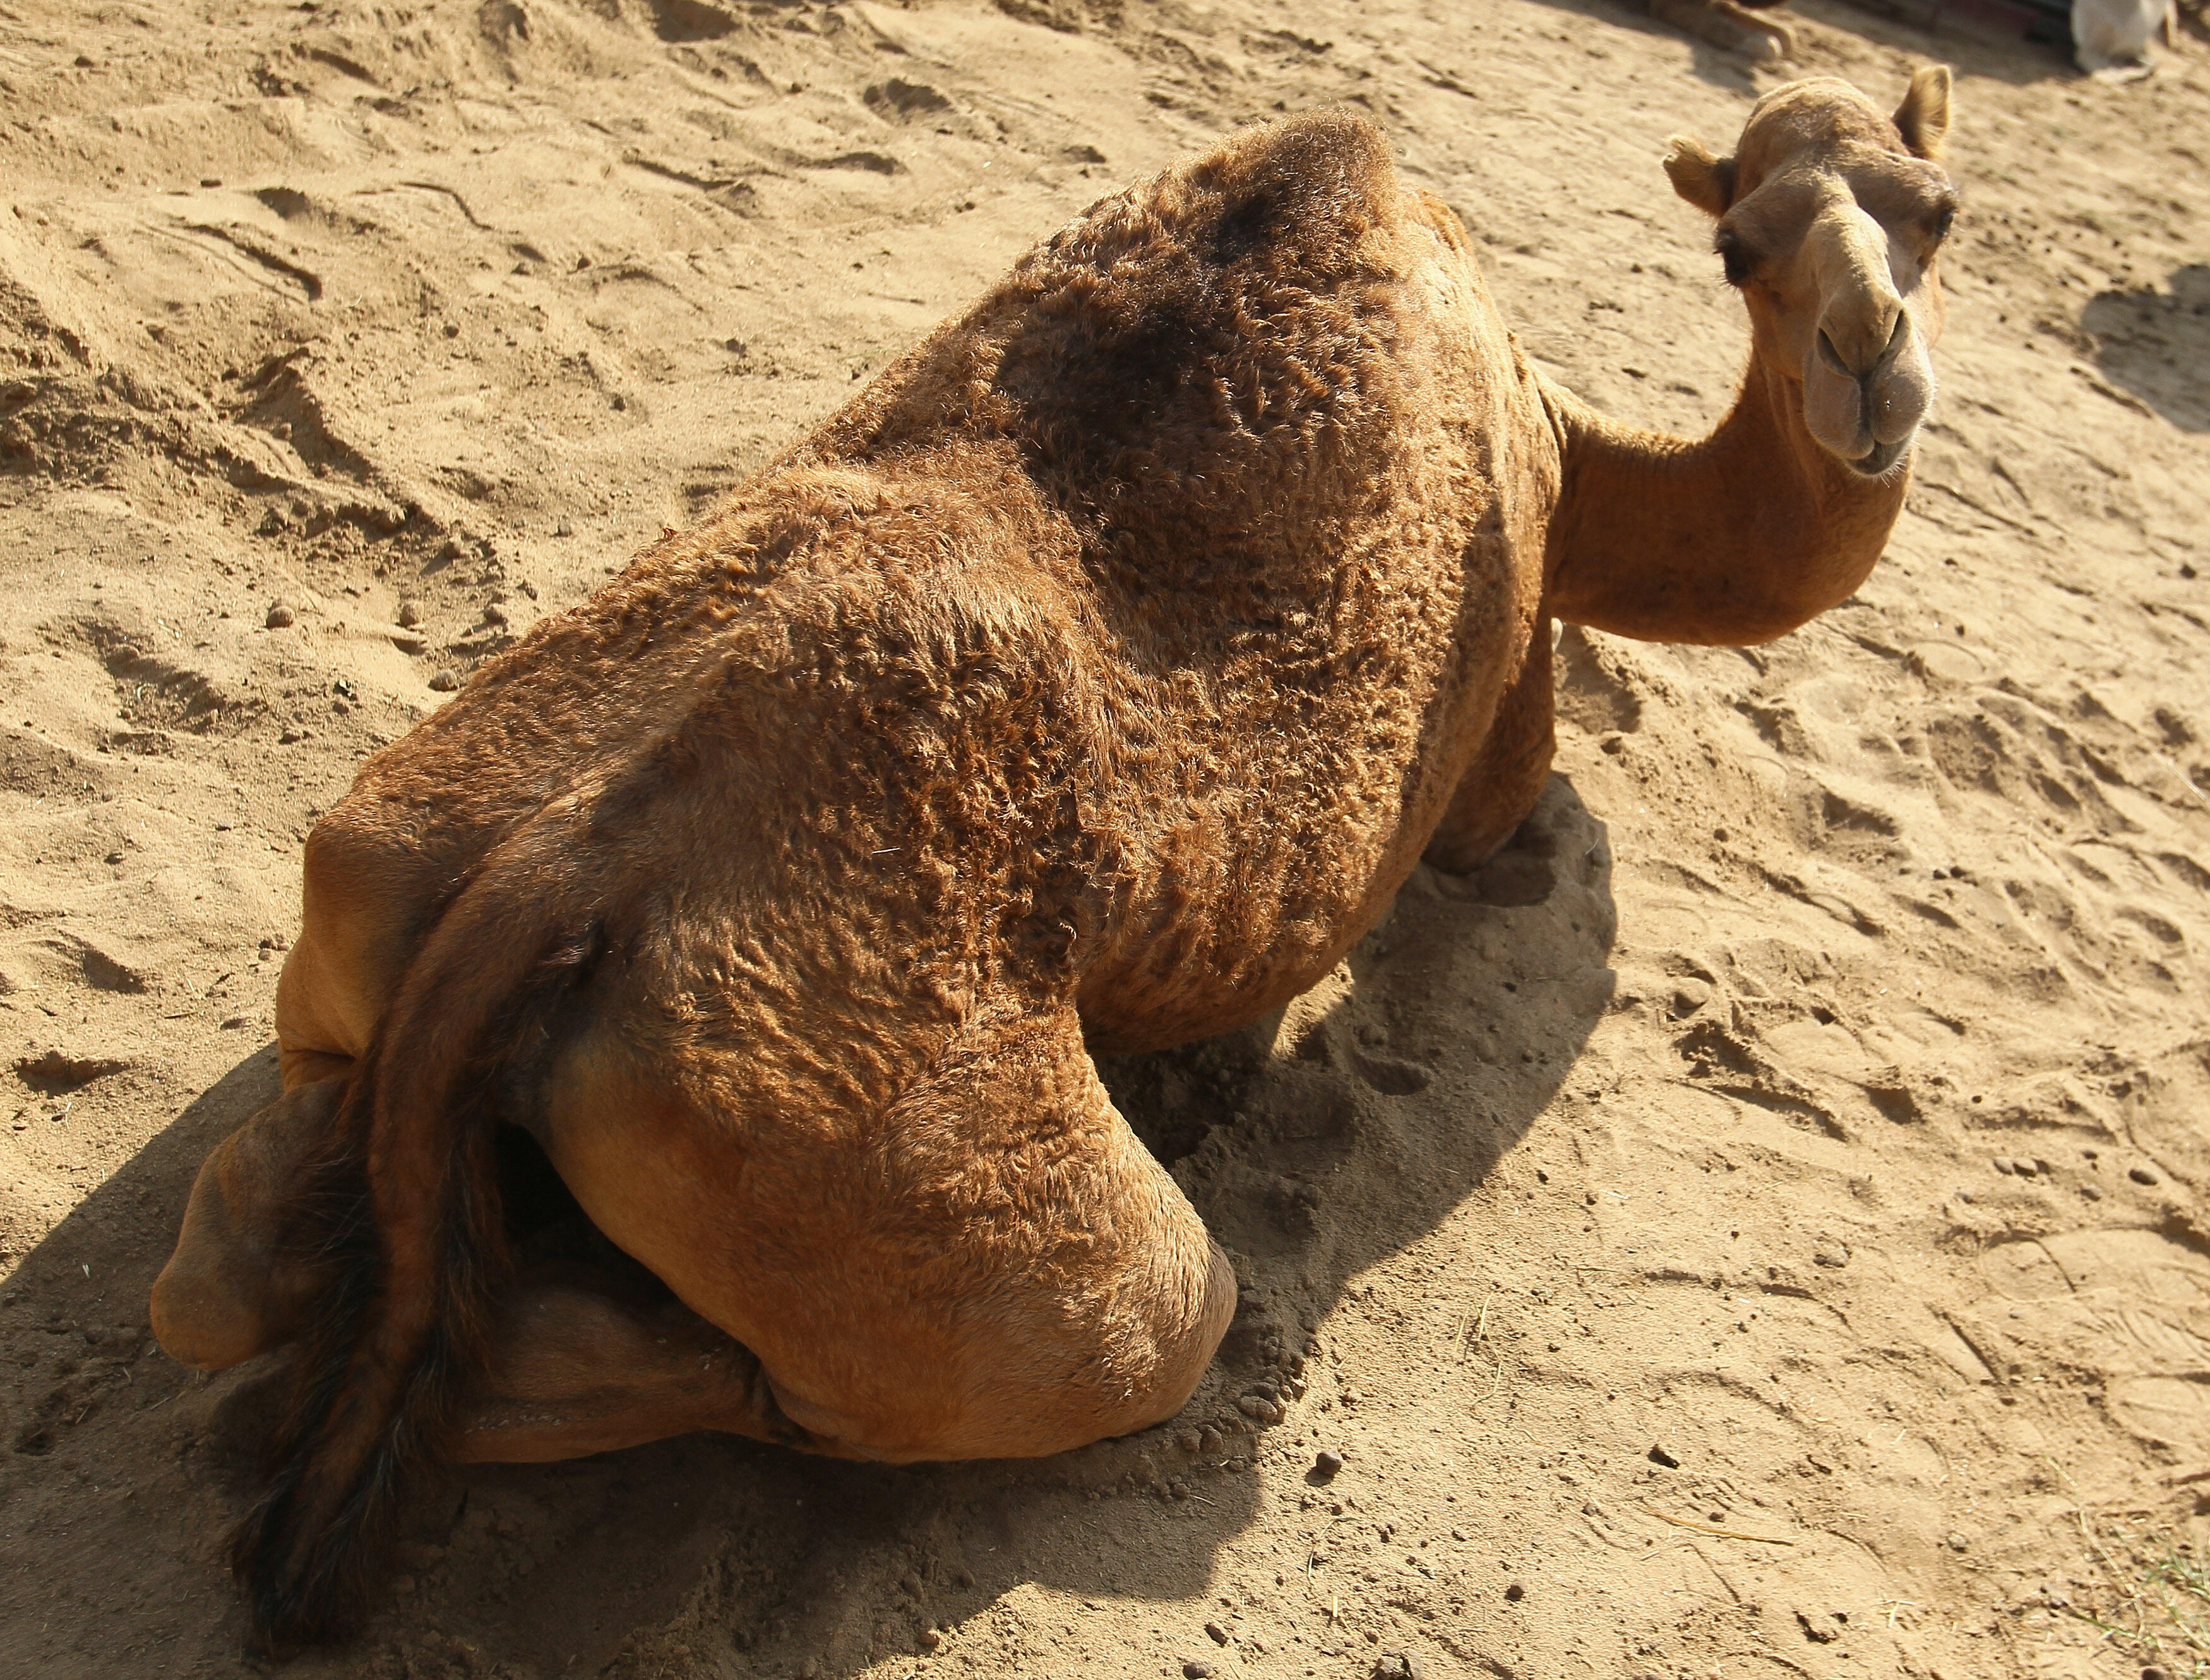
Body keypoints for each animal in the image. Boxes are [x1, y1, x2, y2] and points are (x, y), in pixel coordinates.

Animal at [148, 69, 1958, 1647]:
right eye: (1739, 247)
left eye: (1935, 212)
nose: (1869, 362)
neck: (1560, 438)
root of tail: (557, 876)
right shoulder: (1508, 690)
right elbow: (1515, 825)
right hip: (905, 1168)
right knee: (1107, 1328)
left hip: (382, 865)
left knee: (231, 1250)